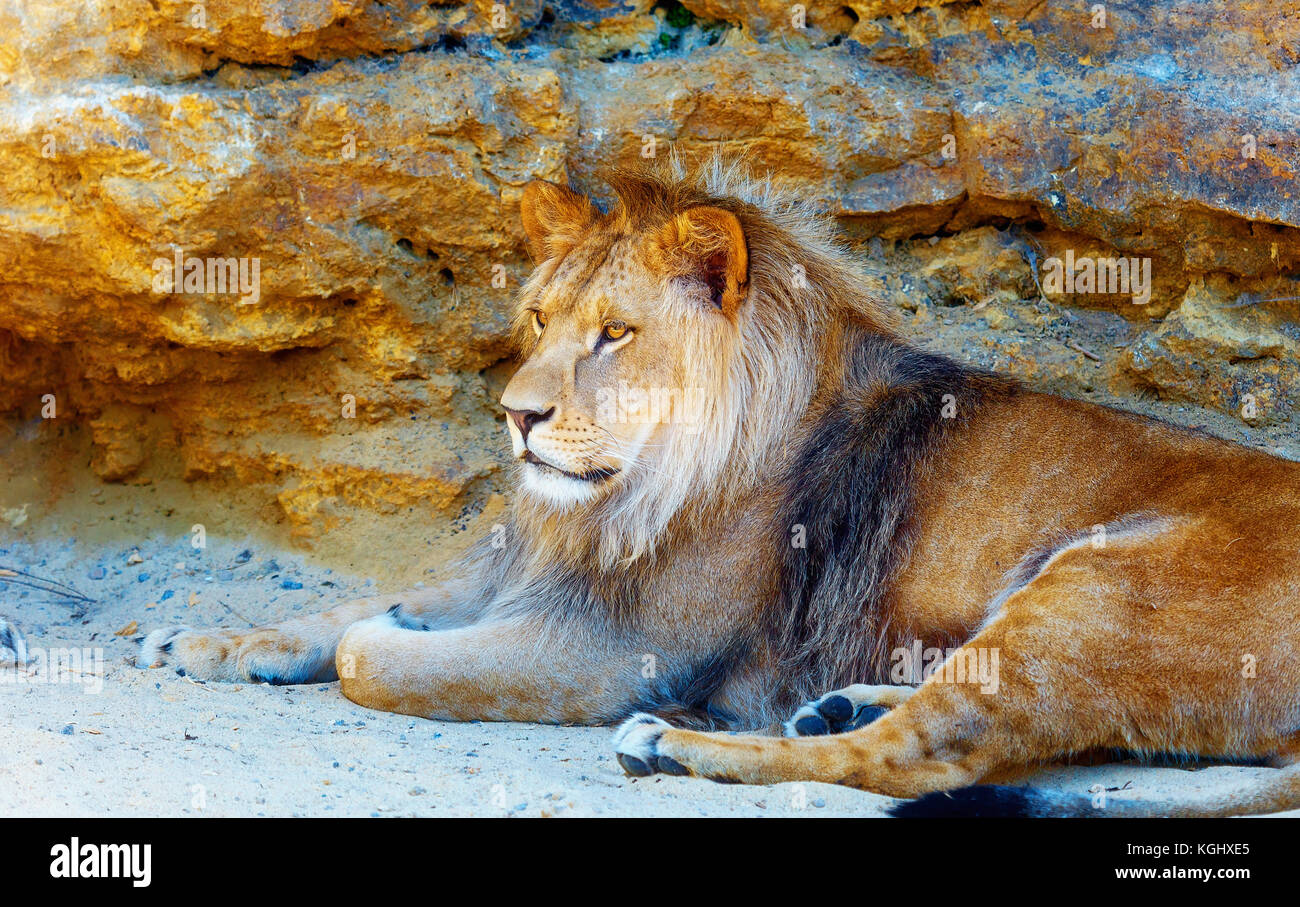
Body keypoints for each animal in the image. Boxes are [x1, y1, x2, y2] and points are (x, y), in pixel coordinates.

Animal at [141, 157, 1300, 817]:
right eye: (539, 320)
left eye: (614, 334)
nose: (517, 416)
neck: (624, 489)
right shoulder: (529, 568)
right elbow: (338, 607)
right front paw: (201, 639)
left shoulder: (612, 650)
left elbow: (365, 652)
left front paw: (380, 637)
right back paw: (832, 706)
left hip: (1089, 594)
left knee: (927, 756)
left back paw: (677, 749)